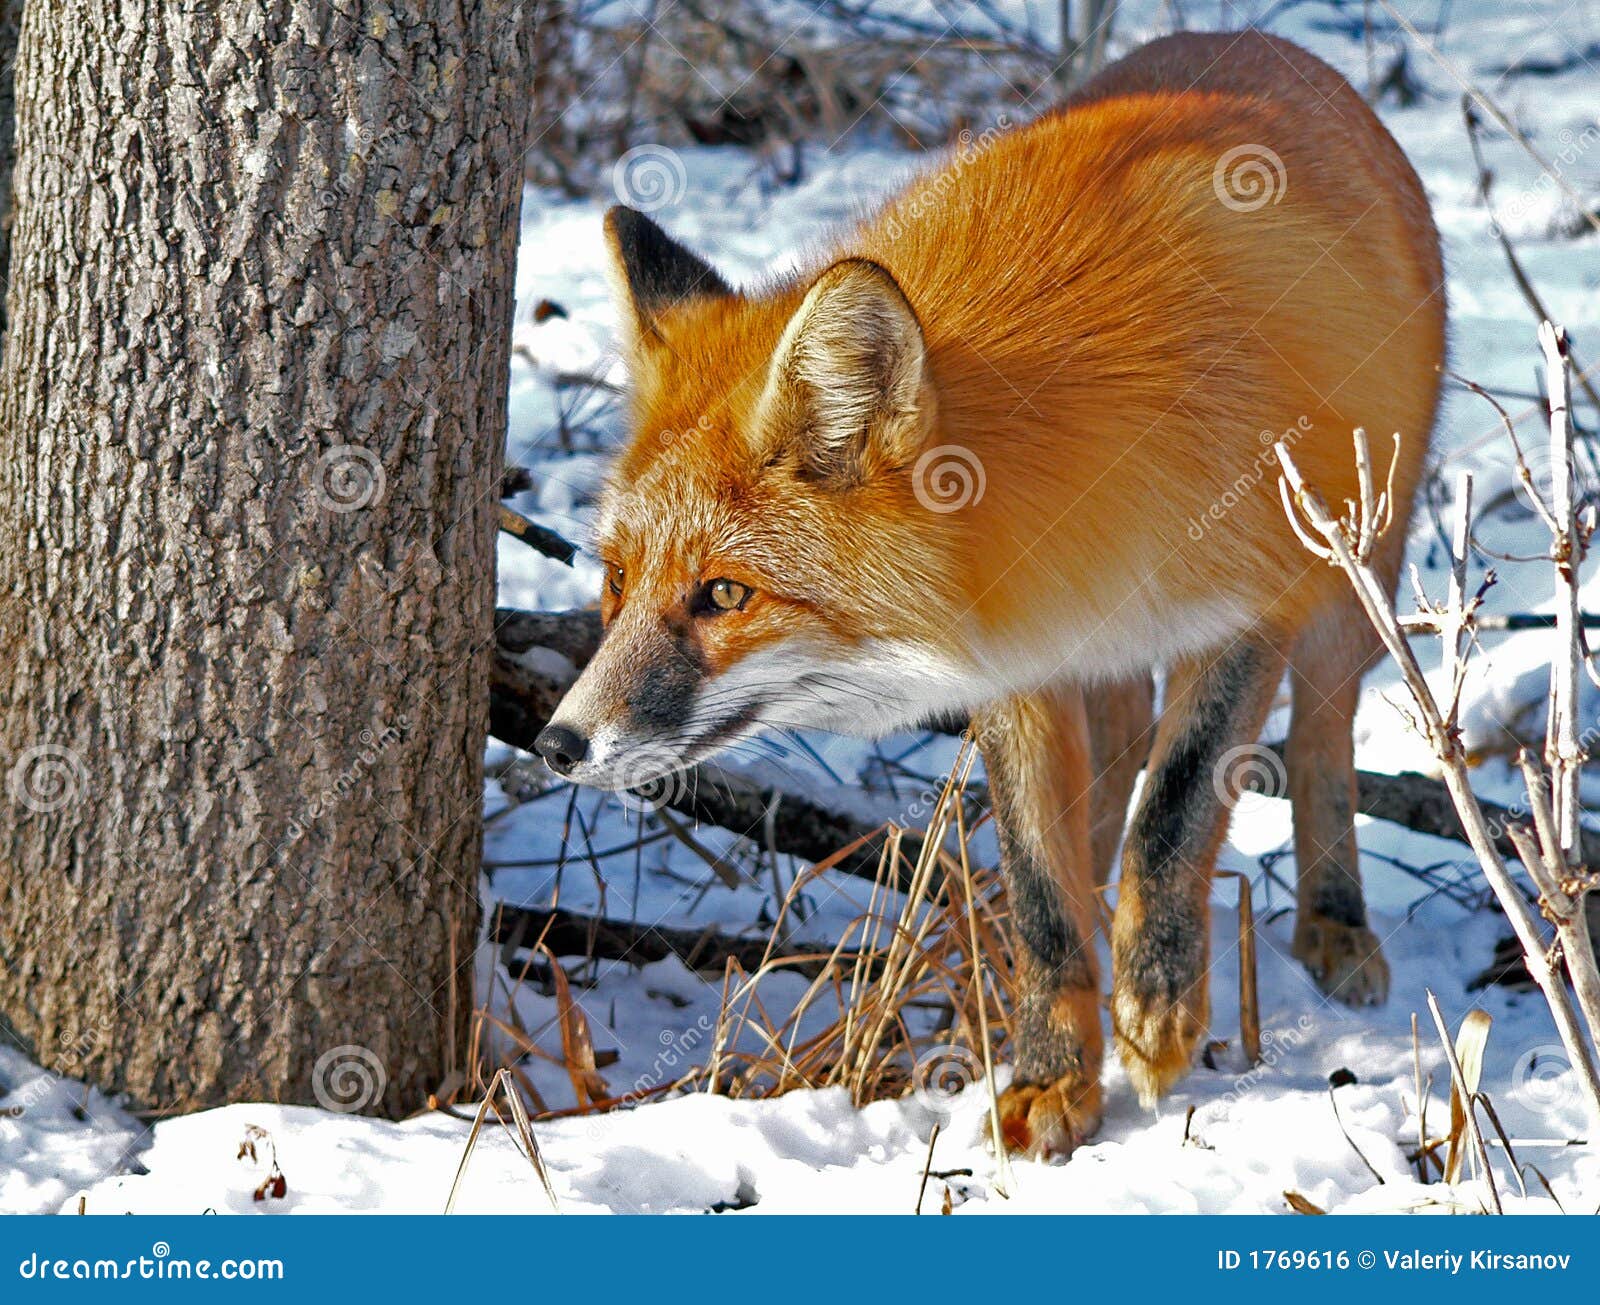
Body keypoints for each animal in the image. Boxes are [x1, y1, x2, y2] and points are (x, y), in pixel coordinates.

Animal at [535, 30, 1445, 1157]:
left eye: (723, 594)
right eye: (617, 580)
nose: (558, 742)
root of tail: (1265, 44)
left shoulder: (1250, 609)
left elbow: (1176, 811)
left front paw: (1157, 1012)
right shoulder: (1022, 657)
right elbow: (1042, 887)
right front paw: (1054, 1073)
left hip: (1353, 579)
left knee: (1322, 734)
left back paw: (1333, 921)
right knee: (1107, 782)